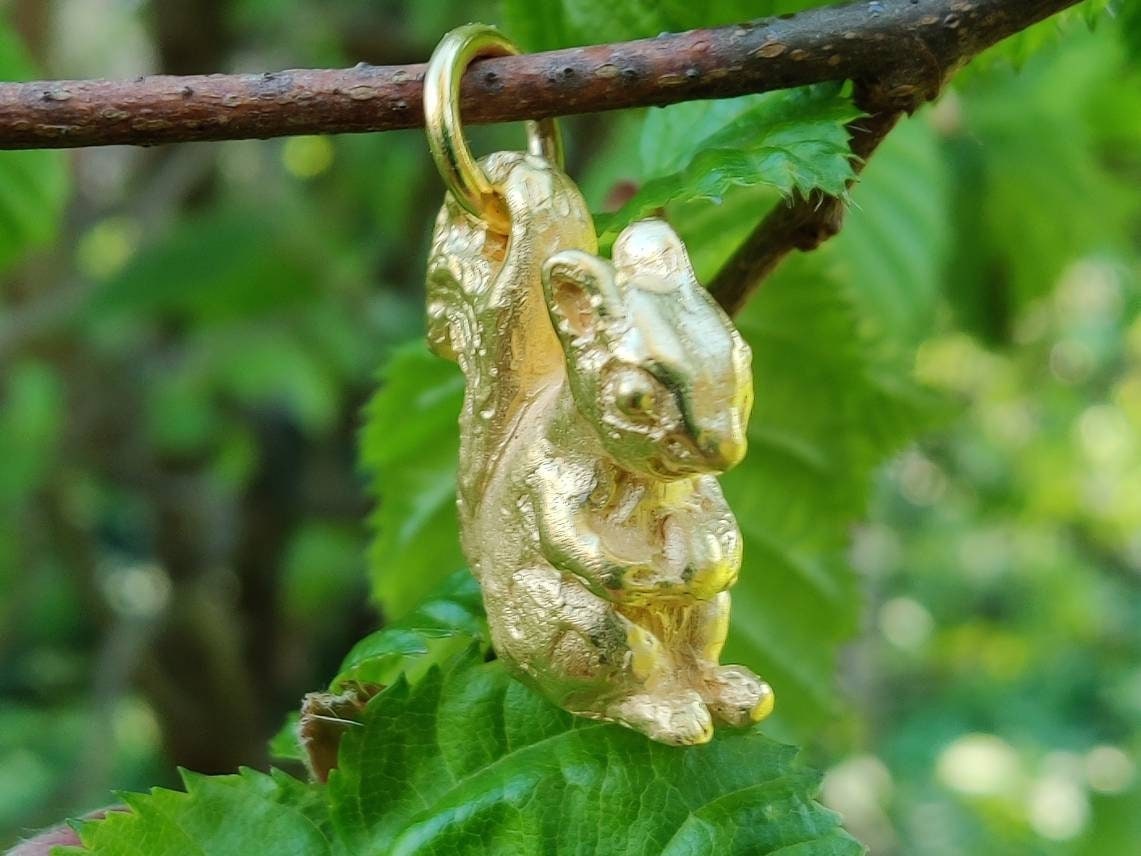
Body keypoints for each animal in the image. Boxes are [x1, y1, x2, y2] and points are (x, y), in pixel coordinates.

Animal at [426, 151, 773, 745]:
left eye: (742, 362)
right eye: (634, 399)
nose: (722, 451)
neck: (647, 479)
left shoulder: (699, 489)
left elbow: (724, 534)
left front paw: (706, 559)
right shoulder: (552, 476)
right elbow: (578, 543)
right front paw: (654, 572)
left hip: (709, 617)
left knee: (699, 650)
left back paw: (729, 691)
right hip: (578, 632)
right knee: (611, 687)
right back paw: (668, 713)